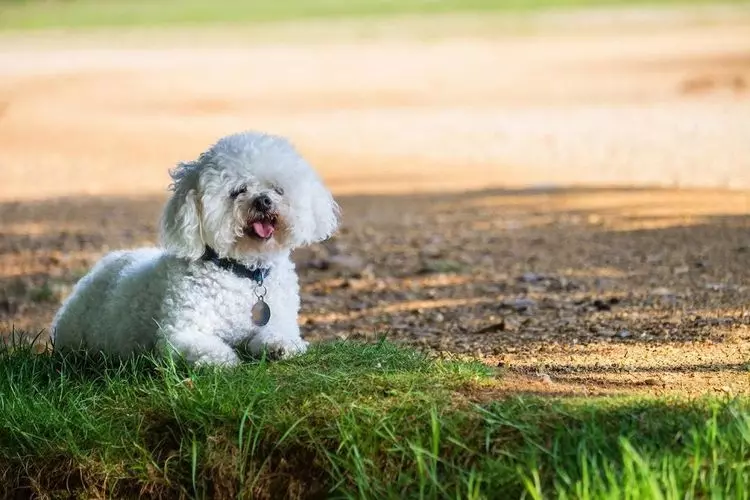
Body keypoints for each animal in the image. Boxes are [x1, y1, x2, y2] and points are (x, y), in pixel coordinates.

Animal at [54, 132, 342, 368]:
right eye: (238, 191)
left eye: (278, 189)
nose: (263, 201)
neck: (244, 272)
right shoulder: (181, 332)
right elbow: (208, 349)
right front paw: (226, 360)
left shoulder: (281, 321)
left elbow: (279, 335)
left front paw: (279, 347)